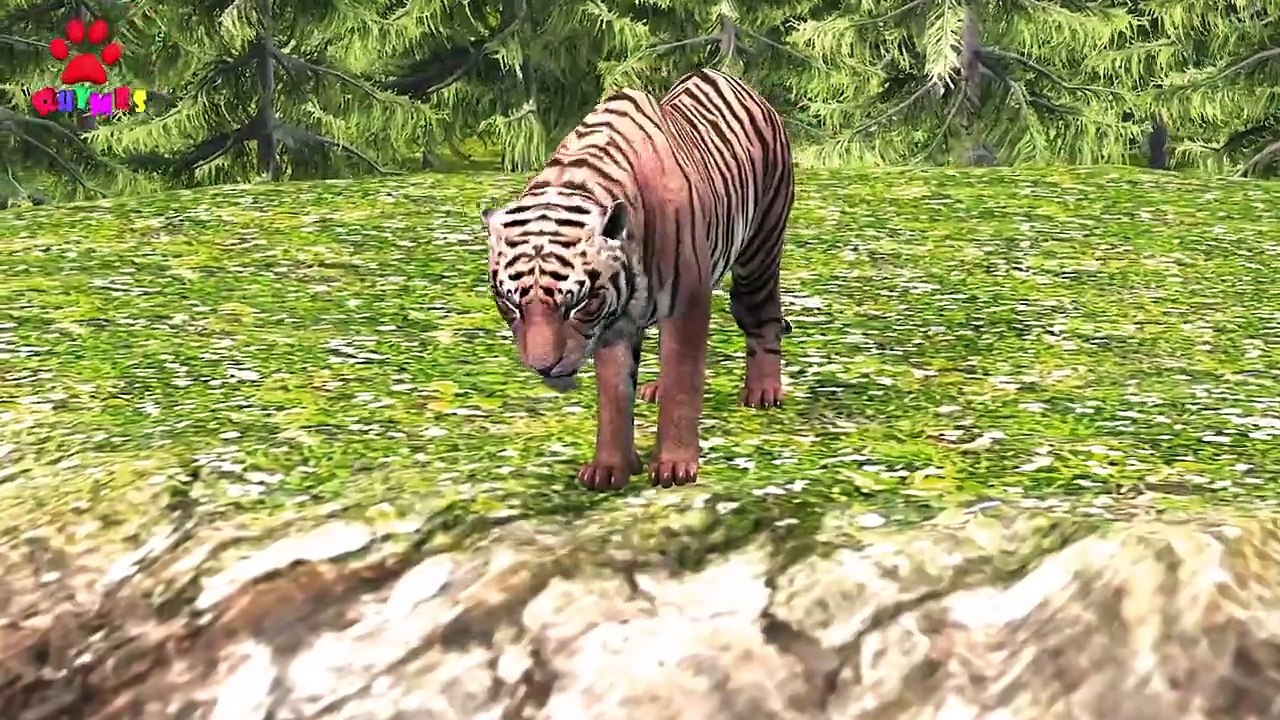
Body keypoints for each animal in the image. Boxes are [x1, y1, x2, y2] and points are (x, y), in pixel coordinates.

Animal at [481, 67, 794, 491]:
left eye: (575, 305)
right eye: (511, 304)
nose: (544, 368)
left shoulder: (684, 307)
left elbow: (683, 381)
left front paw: (675, 466)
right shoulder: (613, 324)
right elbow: (615, 392)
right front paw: (609, 468)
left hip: (759, 250)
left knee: (761, 316)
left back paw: (763, 391)